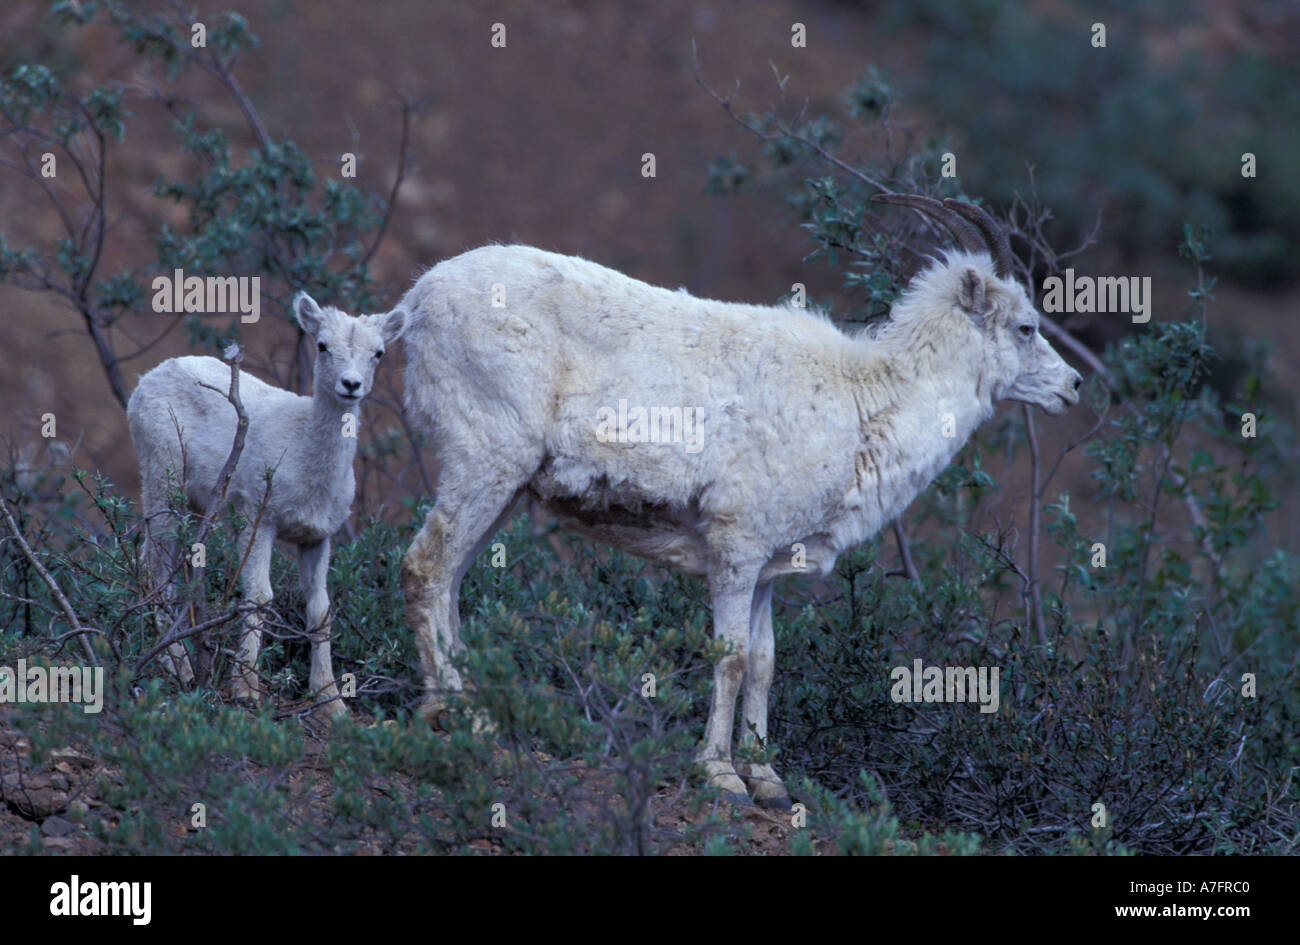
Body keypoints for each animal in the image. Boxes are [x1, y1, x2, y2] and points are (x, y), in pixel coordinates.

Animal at [128, 294, 406, 718]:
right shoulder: (257, 514)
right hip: (161, 473)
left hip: (194, 500)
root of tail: (144, 383)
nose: (351, 385)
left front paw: (331, 700)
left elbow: (320, 610)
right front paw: (246, 690)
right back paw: (180, 666)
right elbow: (258, 596)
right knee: (155, 565)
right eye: (322, 346)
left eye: (379, 353)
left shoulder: (319, 536)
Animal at [396, 195, 1082, 806]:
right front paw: (721, 777)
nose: (1072, 387)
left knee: (451, 579)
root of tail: (416, 302)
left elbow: (764, 663)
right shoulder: (736, 548)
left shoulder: (767, 570)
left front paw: (769, 783)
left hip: (505, 490)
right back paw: (453, 715)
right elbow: (728, 660)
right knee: (426, 565)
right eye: (1026, 327)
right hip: (485, 463)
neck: (862, 404)